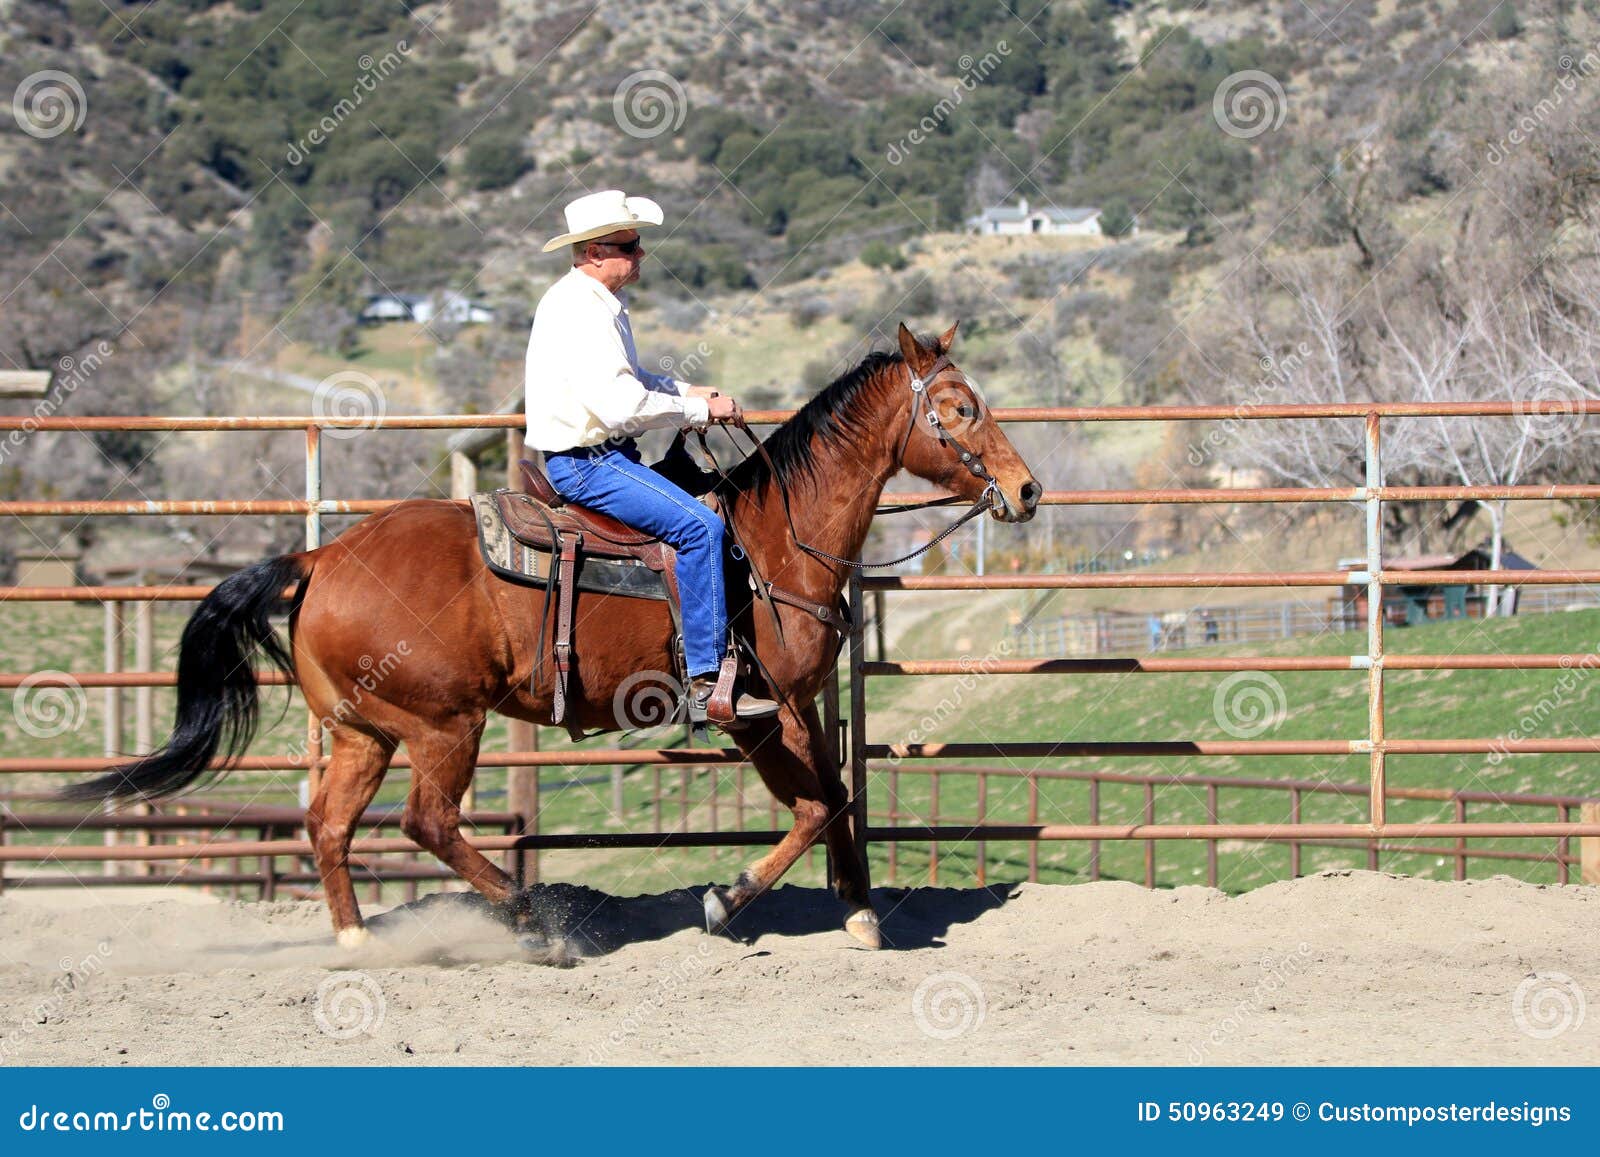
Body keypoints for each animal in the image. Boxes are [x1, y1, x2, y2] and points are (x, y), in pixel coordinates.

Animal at [63, 323, 1041, 950]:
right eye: (959, 406)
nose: (1027, 489)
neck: (771, 539)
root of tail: (321, 554)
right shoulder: (757, 712)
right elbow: (812, 804)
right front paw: (727, 901)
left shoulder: (793, 707)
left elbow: (834, 796)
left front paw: (860, 911)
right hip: (442, 726)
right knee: (425, 821)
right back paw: (534, 920)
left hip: (362, 731)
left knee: (329, 824)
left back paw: (357, 941)